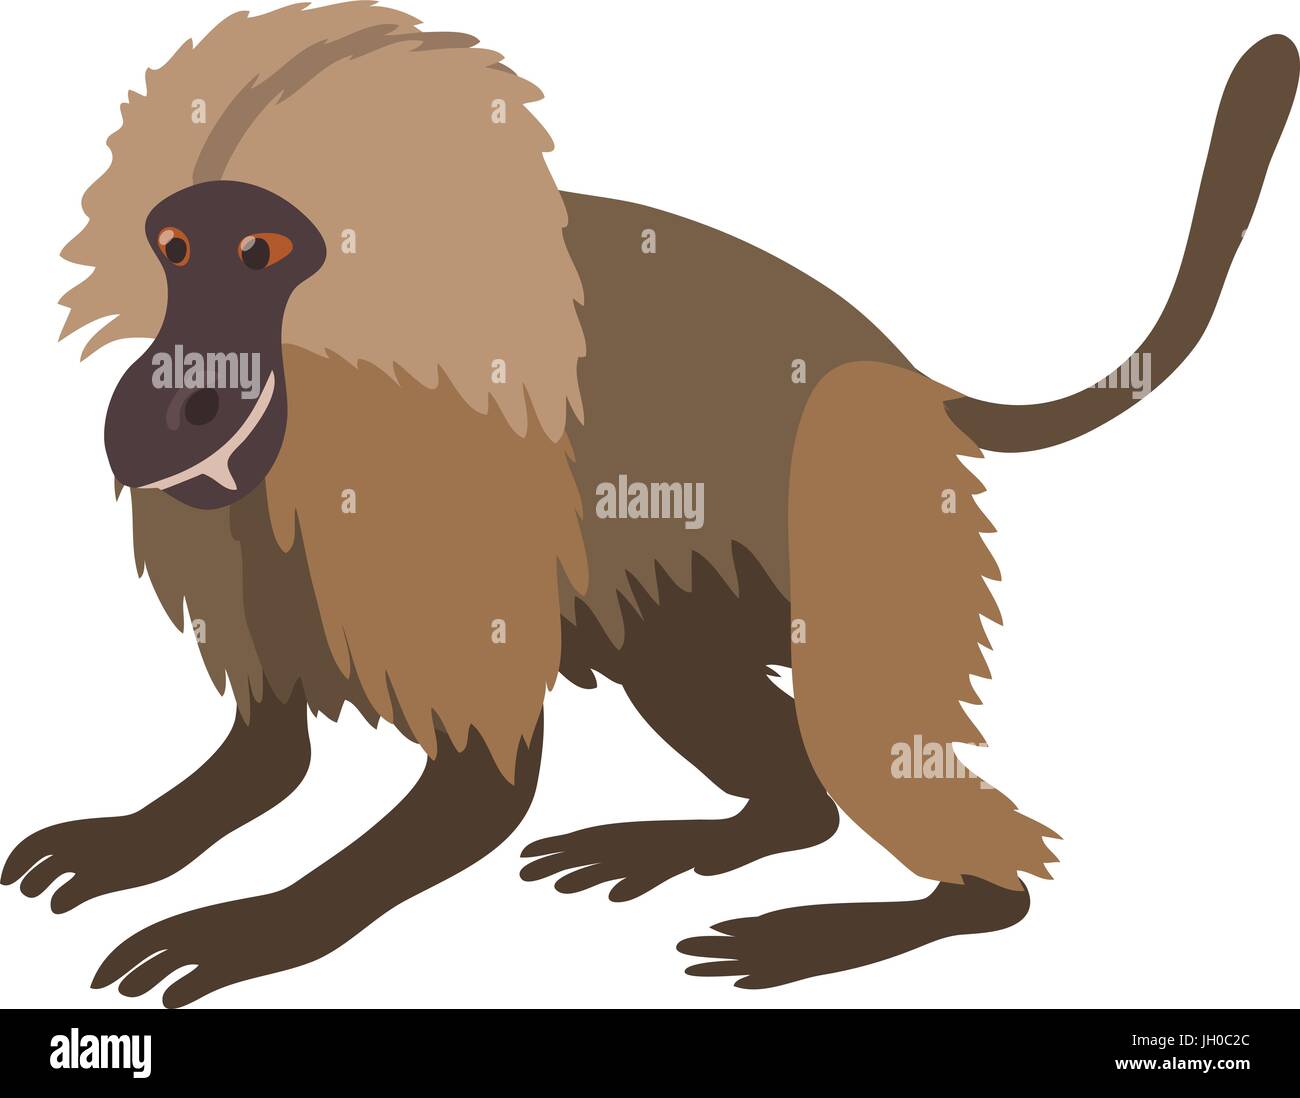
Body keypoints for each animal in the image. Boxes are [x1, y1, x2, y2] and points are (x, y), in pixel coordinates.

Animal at [2, 3, 1295, 1004]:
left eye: (261, 253)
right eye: (176, 248)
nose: (174, 406)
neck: (337, 375)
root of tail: (907, 380)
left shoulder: (445, 502)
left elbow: (480, 789)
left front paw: (254, 928)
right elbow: (268, 758)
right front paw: (140, 840)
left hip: (863, 485)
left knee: (883, 748)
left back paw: (879, 918)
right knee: (704, 684)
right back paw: (735, 835)